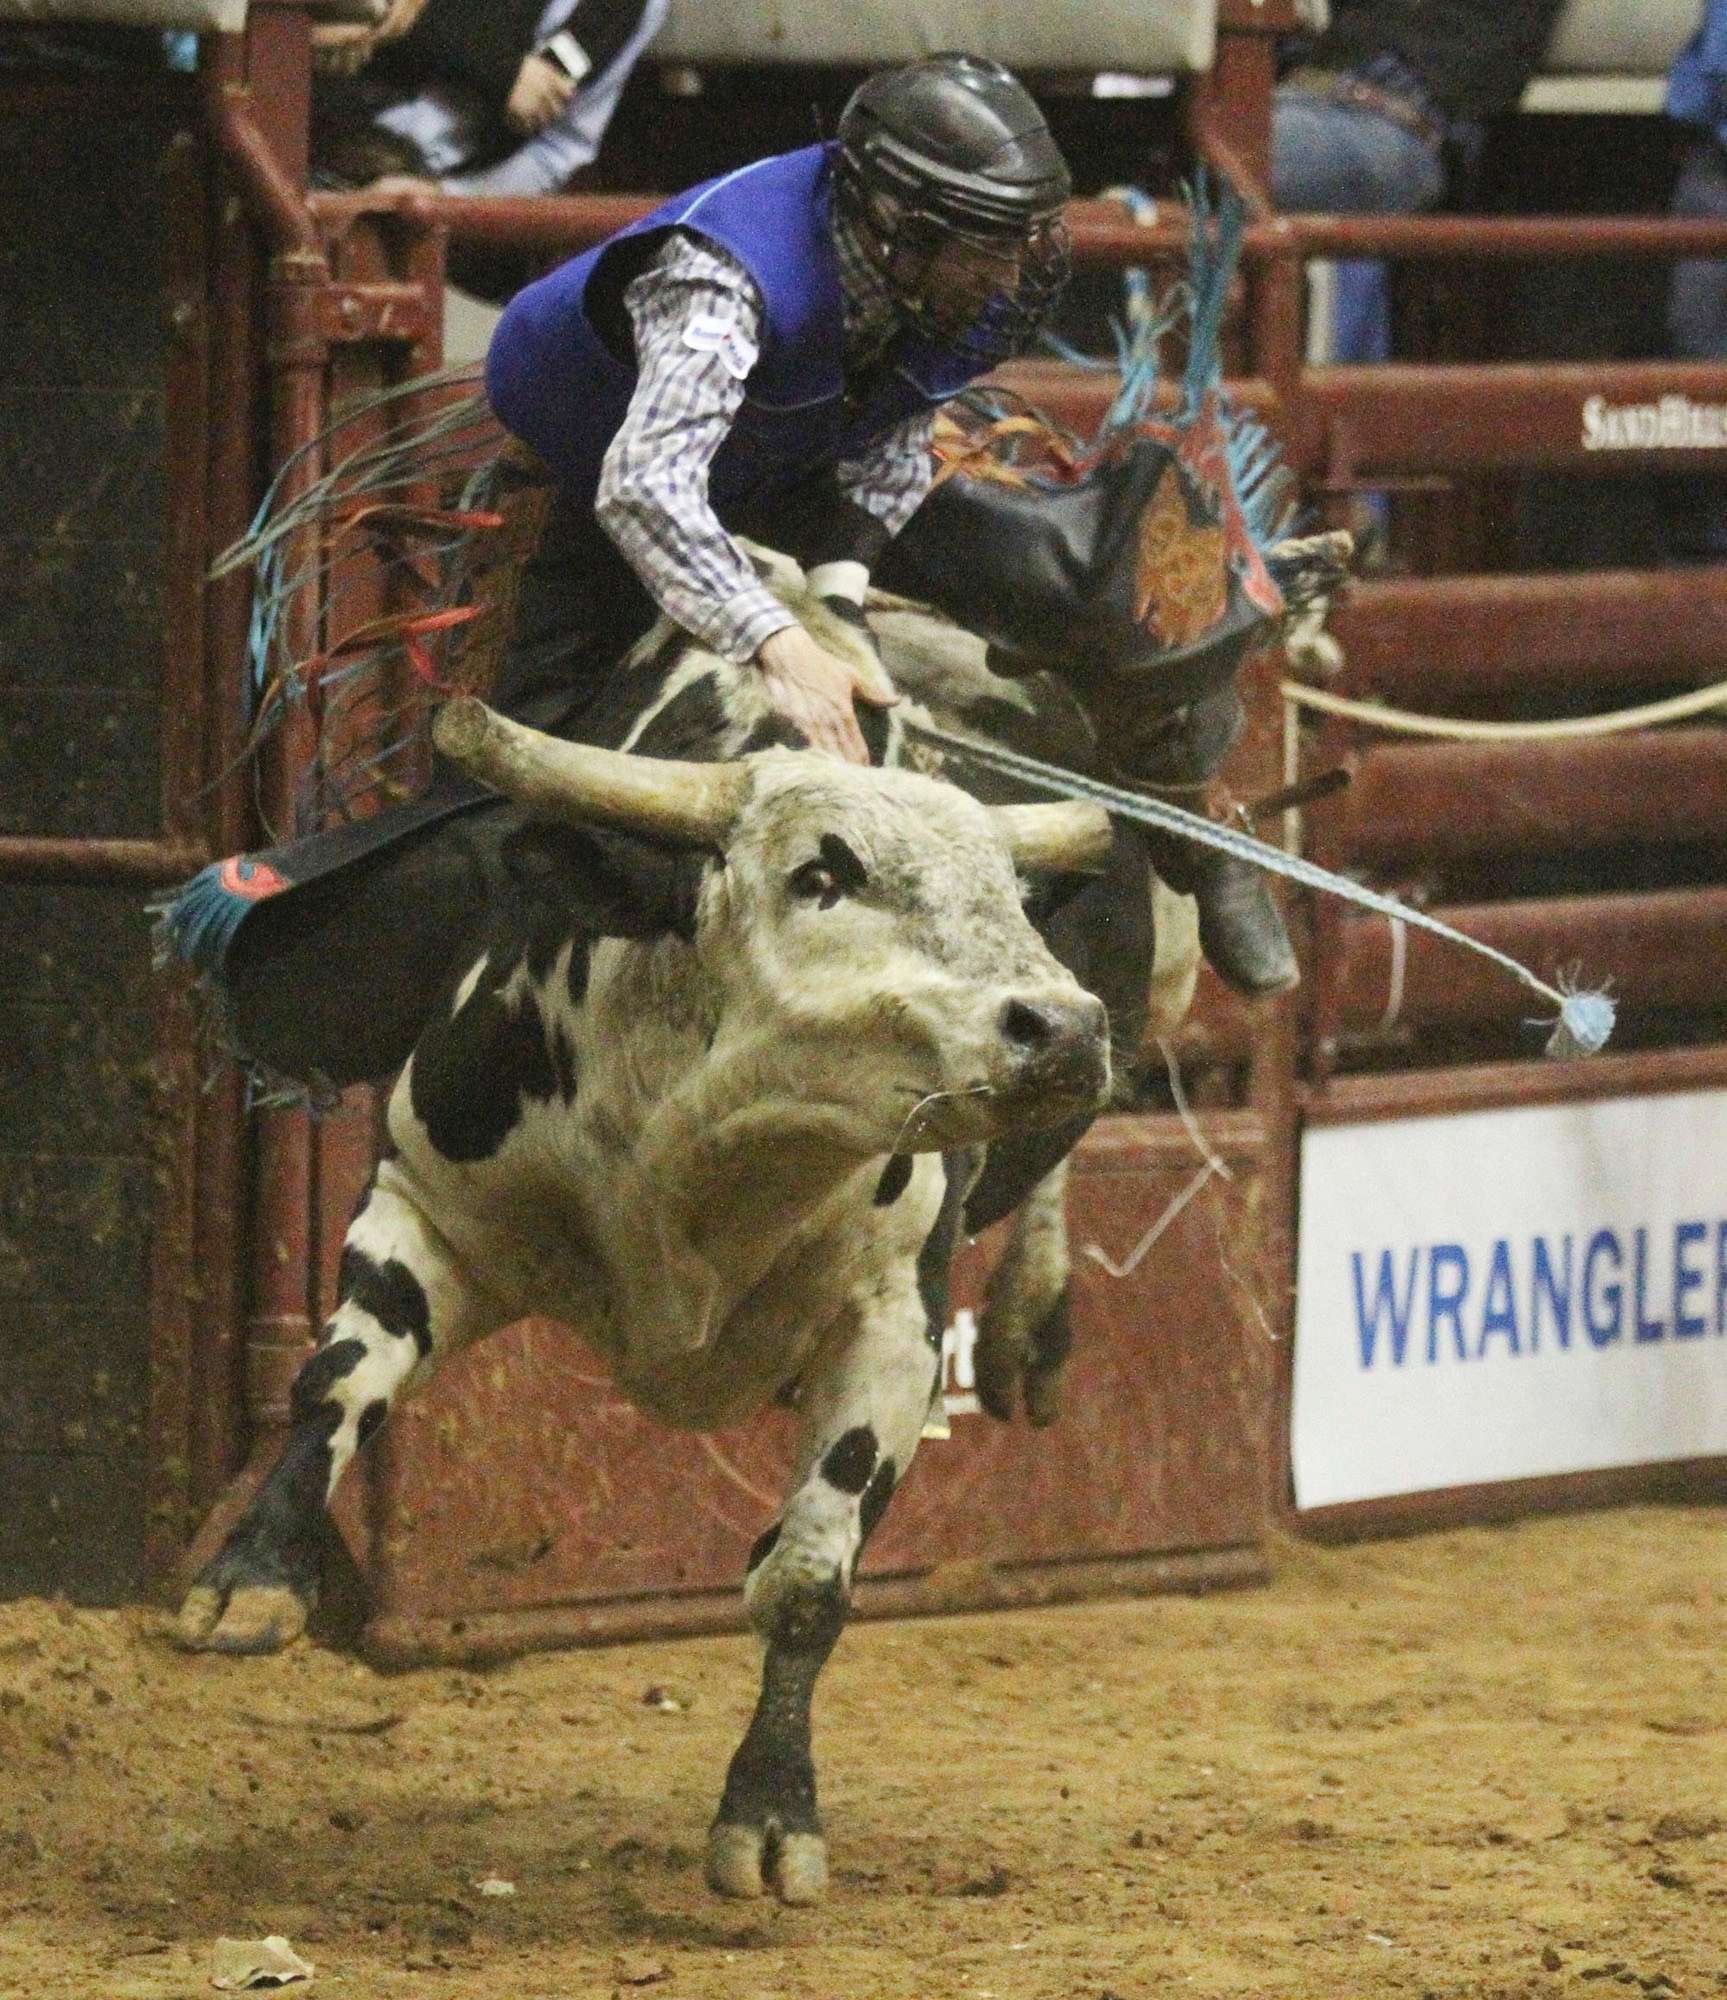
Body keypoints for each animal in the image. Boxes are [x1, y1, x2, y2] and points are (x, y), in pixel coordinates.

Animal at [177, 561, 1165, 1906]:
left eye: (1012, 896)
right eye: (820, 871)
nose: (1060, 1025)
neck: (708, 1154)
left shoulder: (892, 1326)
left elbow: (805, 1579)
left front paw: (769, 1810)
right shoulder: (425, 1205)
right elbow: (335, 1381)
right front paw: (252, 1579)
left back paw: (1032, 1328)